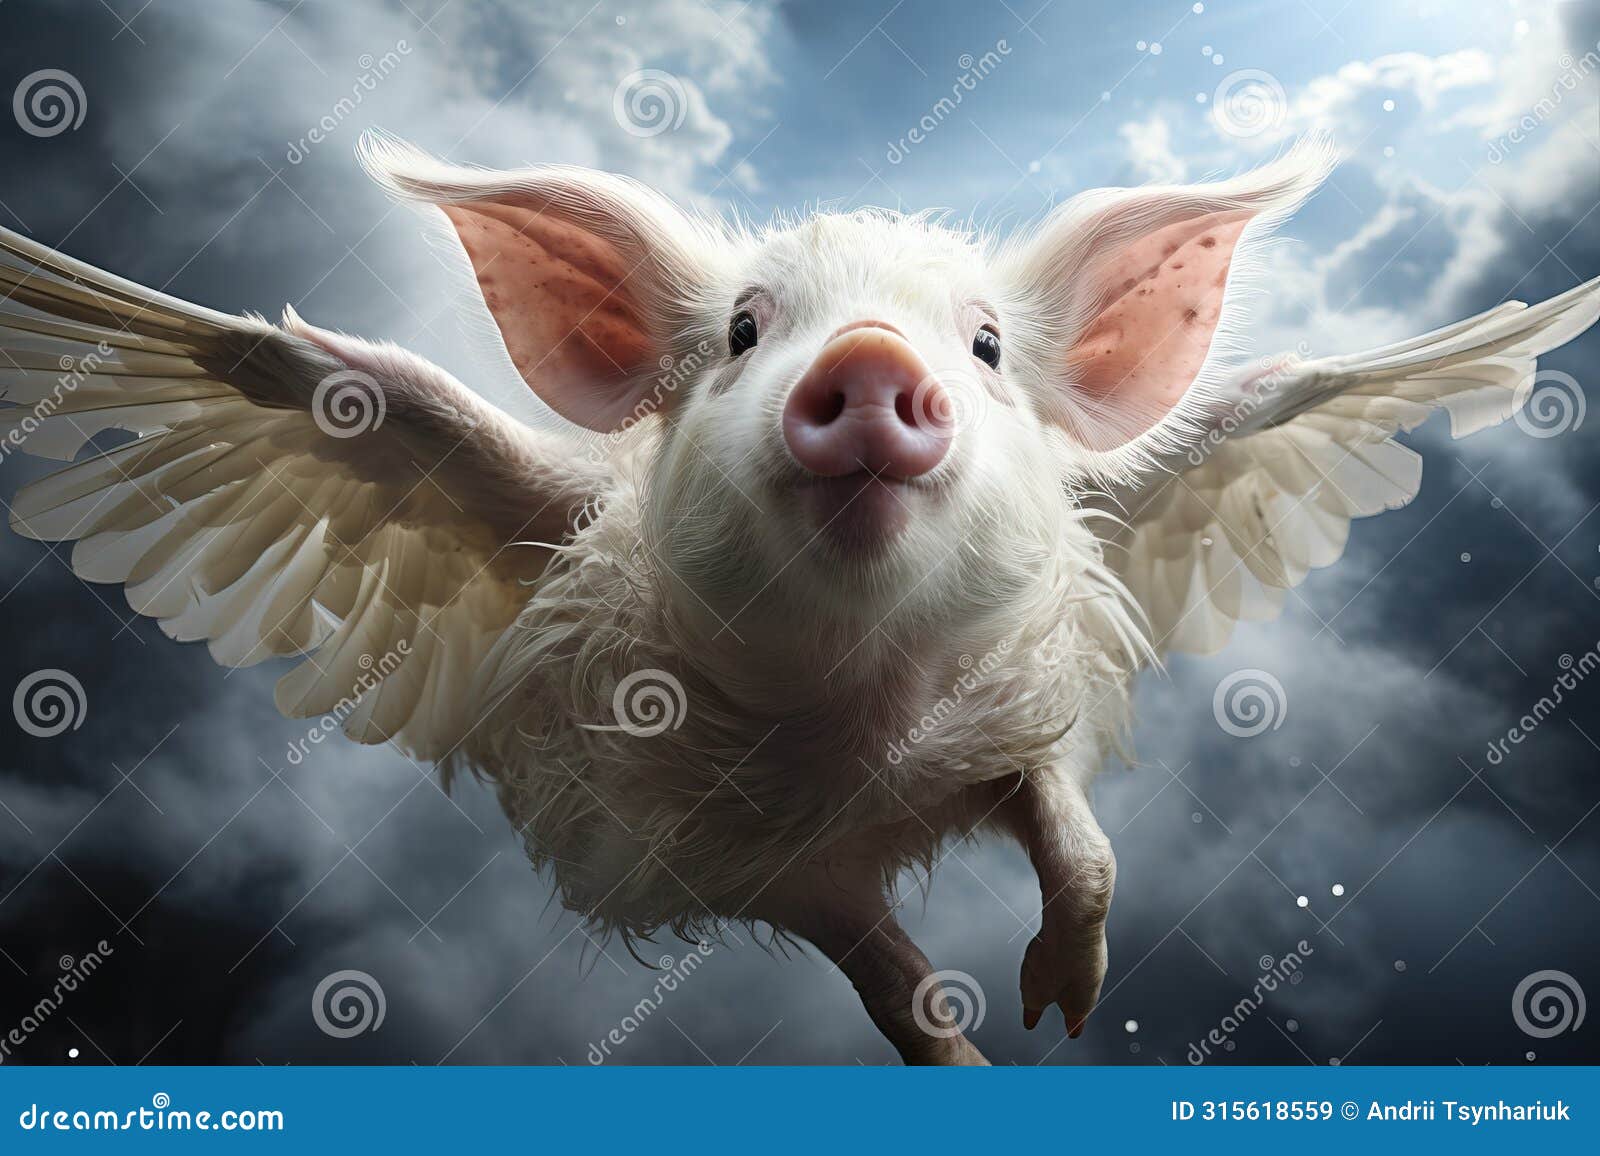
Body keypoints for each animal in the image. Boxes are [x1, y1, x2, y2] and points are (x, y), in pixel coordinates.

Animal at [1, 131, 1597, 1064]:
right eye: (746, 331)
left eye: (987, 345)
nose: (872, 357)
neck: (859, 715)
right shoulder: (761, 856)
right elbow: (897, 983)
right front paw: (1005, 1046)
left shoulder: (1019, 710)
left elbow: (1078, 841)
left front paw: (1065, 1007)